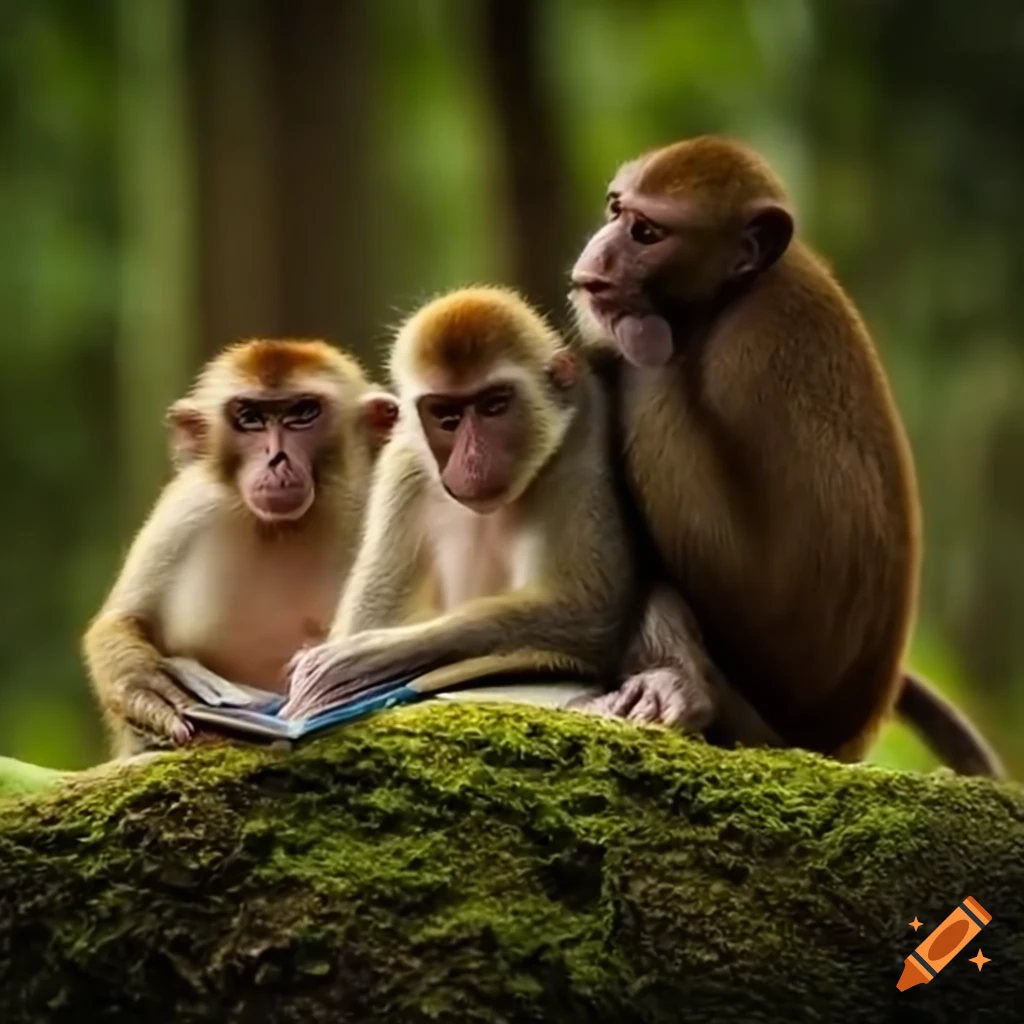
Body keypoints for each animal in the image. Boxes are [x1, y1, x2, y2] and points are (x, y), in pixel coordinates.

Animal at [83, 339, 399, 756]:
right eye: (249, 418)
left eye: (303, 413)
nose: (276, 458)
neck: (282, 528)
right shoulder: (186, 508)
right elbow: (123, 619)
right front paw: (149, 688)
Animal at [281, 286, 642, 720]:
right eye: (446, 415)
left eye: (494, 406)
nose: (472, 461)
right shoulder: (404, 468)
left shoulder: (583, 435)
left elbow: (585, 608)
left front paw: (354, 664)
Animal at [568, 135, 1002, 777]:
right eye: (615, 209)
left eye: (646, 233)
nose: (596, 258)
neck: (733, 294)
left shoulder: (743, 355)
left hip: (766, 720)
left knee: (644, 379)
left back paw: (683, 683)